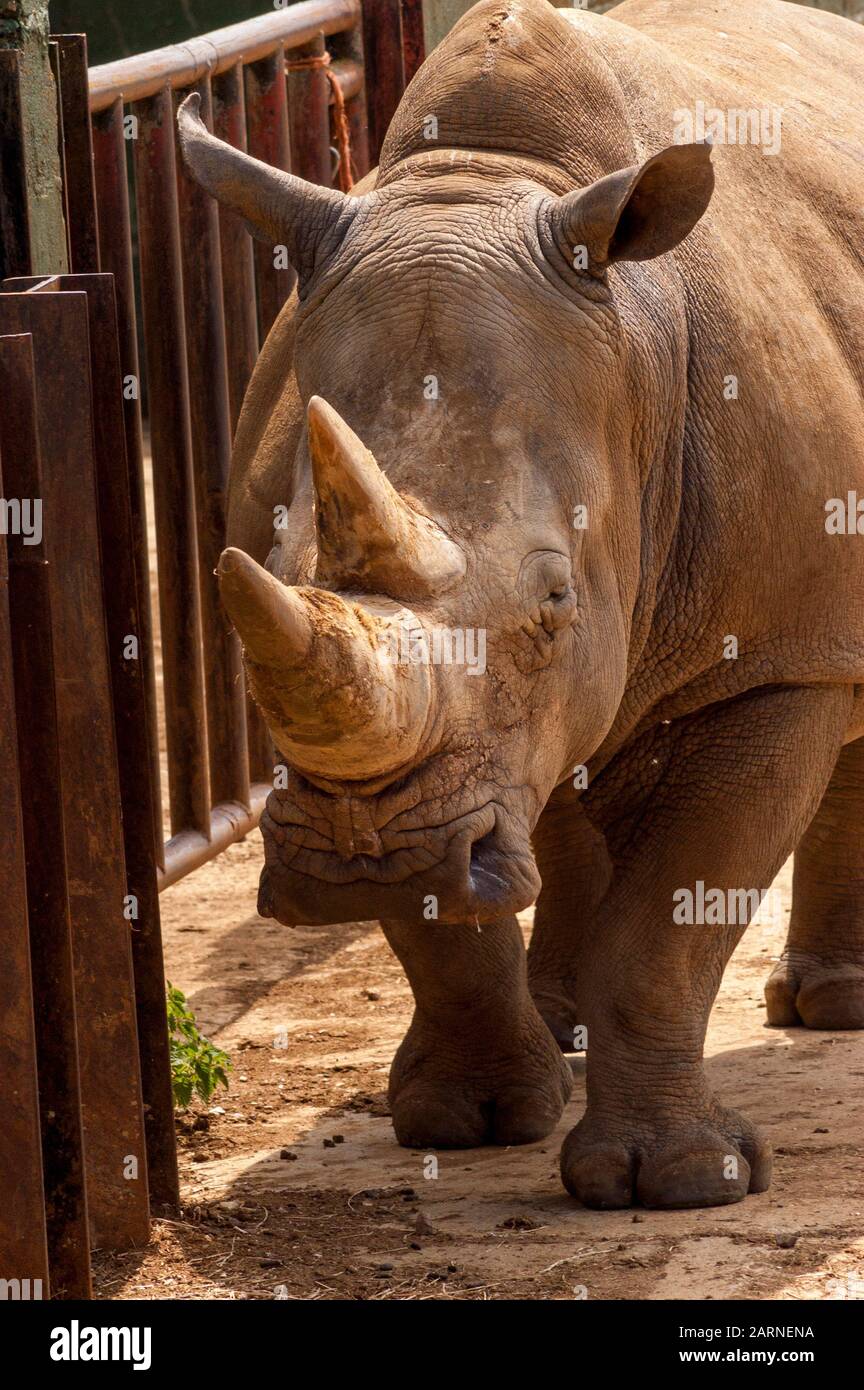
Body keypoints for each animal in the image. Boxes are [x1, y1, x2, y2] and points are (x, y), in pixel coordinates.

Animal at [177, 0, 864, 1209]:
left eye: (552, 598)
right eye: (265, 572)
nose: (362, 859)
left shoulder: (775, 657)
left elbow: (674, 917)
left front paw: (675, 1183)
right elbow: (445, 913)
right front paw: (470, 1119)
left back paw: (827, 1015)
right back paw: (566, 1025)